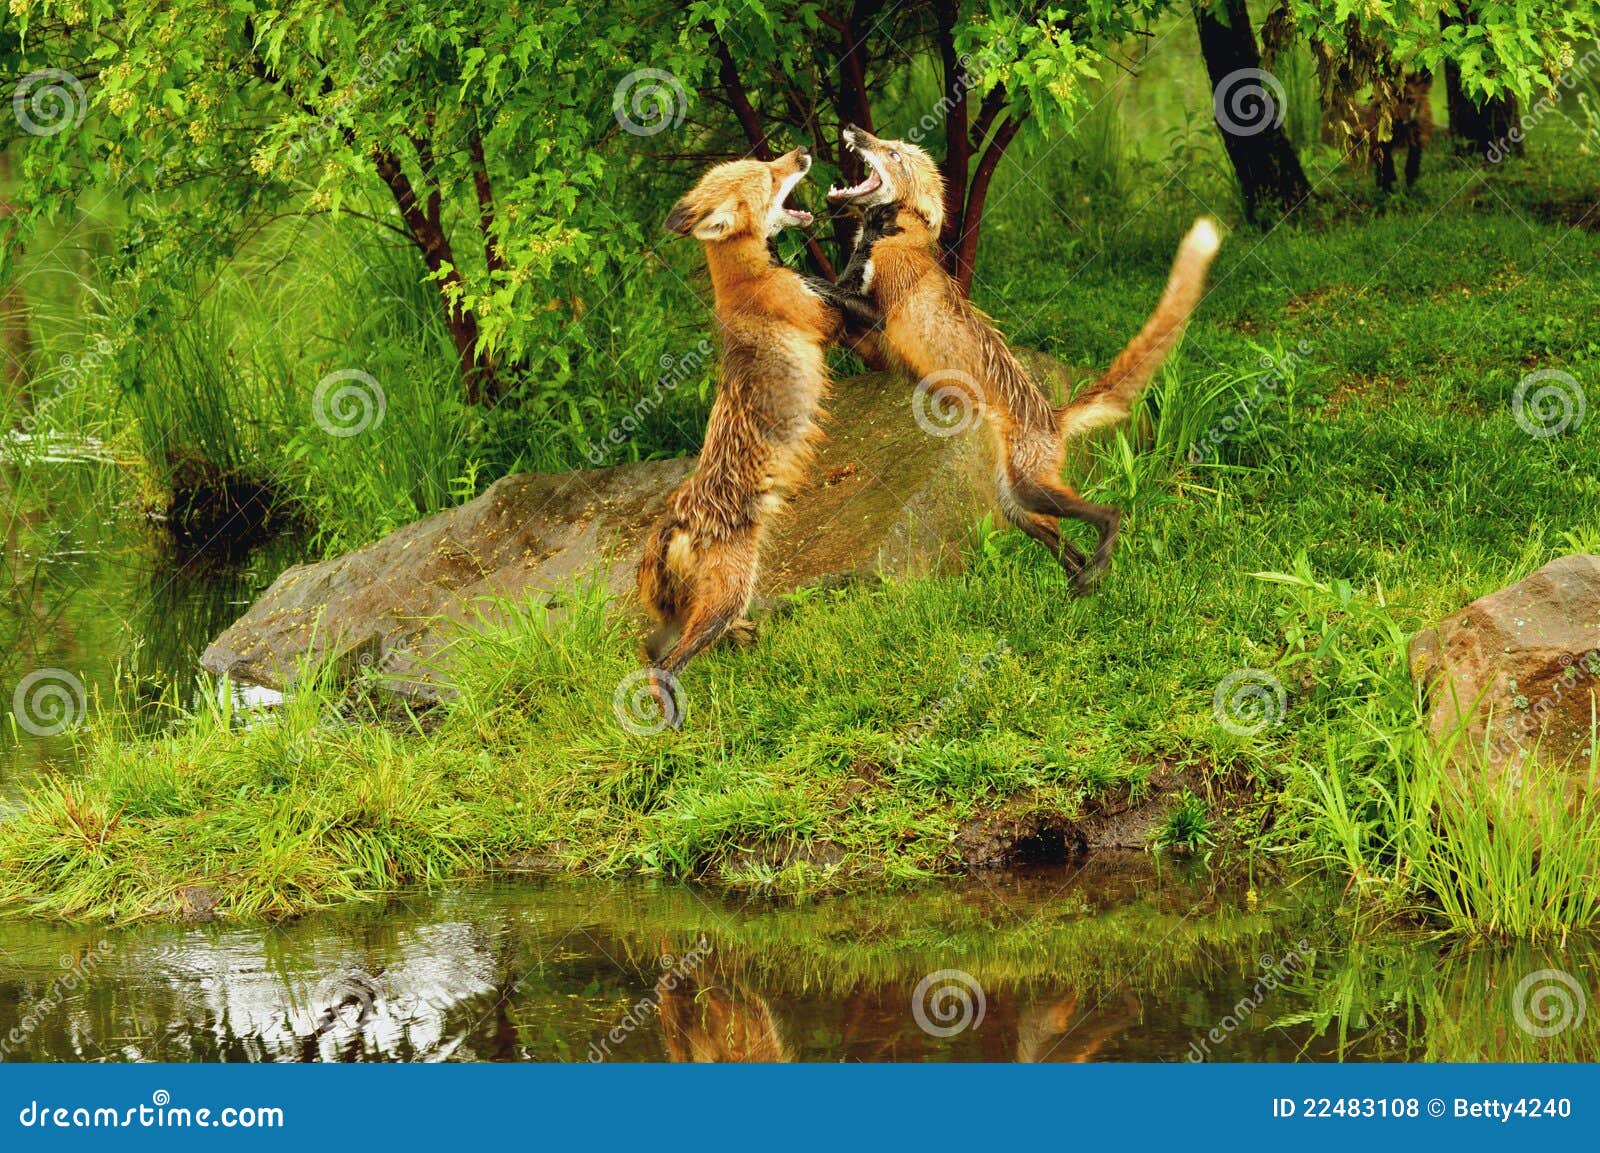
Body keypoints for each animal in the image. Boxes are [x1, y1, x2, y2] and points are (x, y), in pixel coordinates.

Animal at [638, 148, 876, 729]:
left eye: (766, 161)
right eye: (770, 175)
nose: (802, 152)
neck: (747, 283)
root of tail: (678, 519)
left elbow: (836, 276)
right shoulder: (827, 320)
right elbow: (849, 276)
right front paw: (872, 227)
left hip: (699, 607)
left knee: (655, 645)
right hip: (728, 594)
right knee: (668, 663)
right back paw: (673, 724)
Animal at [826, 126, 1221, 591]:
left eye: (892, 154)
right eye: (884, 142)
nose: (853, 128)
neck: (886, 236)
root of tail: (1053, 416)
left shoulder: (882, 317)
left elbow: (817, 283)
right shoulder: (866, 337)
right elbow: (829, 295)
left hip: (1029, 490)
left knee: (1109, 514)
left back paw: (1096, 567)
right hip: (1017, 508)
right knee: (1069, 550)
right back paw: (1081, 589)